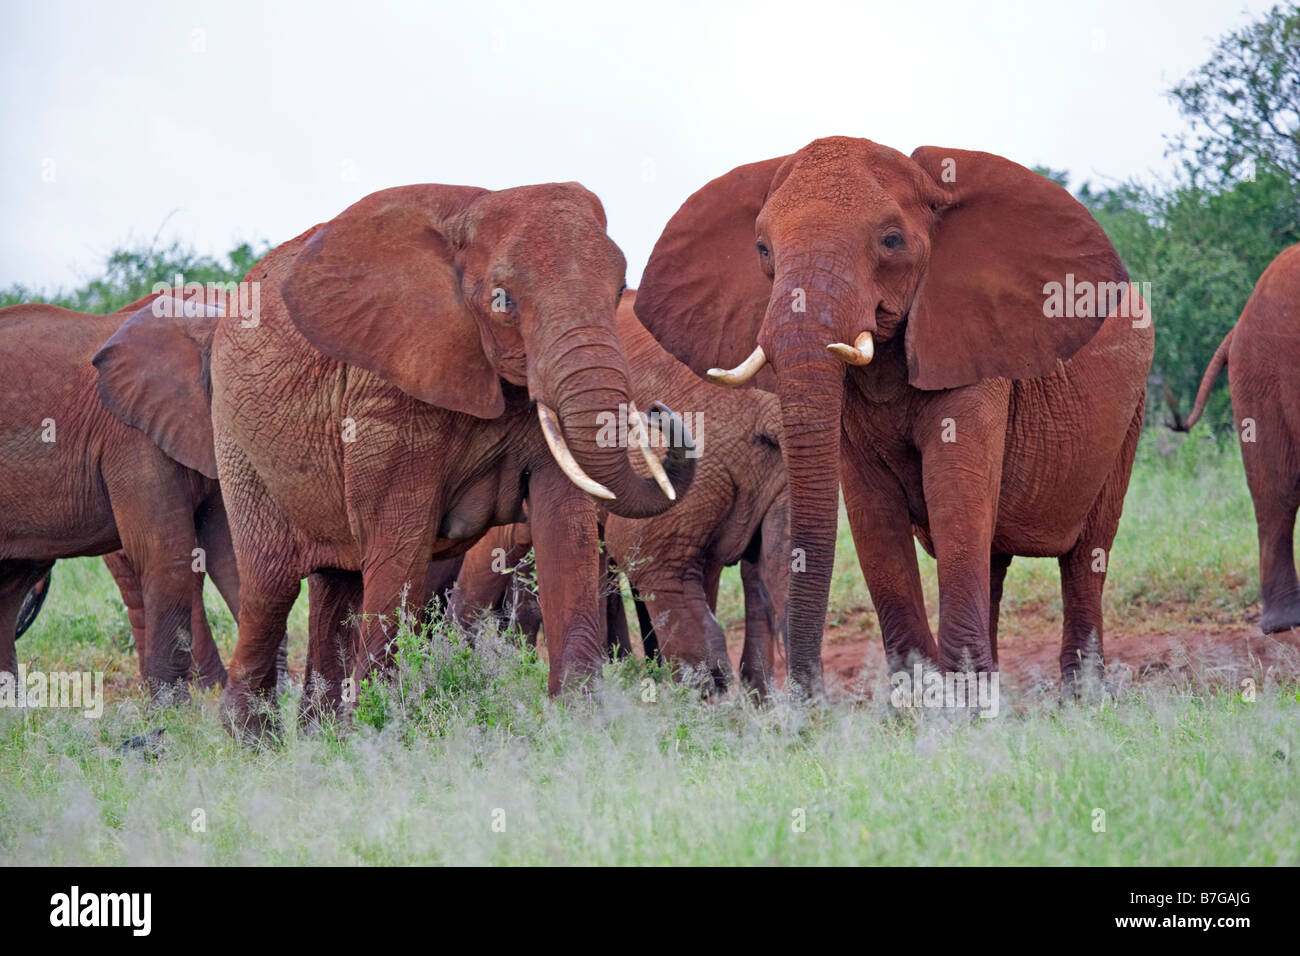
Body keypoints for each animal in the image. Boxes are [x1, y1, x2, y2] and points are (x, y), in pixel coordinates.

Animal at [92, 182, 696, 736]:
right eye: (502, 301)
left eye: (618, 291)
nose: (663, 414)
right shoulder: (382, 391)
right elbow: (401, 540)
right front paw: (377, 733)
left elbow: (565, 527)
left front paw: (579, 727)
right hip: (237, 443)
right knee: (269, 587)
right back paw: (252, 743)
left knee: (335, 587)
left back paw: (319, 736)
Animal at [635, 136, 1154, 695]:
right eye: (762, 251)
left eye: (891, 241)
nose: (809, 700)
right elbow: (873, 513)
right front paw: (924, 699)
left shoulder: (973, 348)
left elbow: (956, 495)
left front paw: (959, 705)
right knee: (992, 553)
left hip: (1131, 413)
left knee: (1087, 551)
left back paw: (1079, 697)